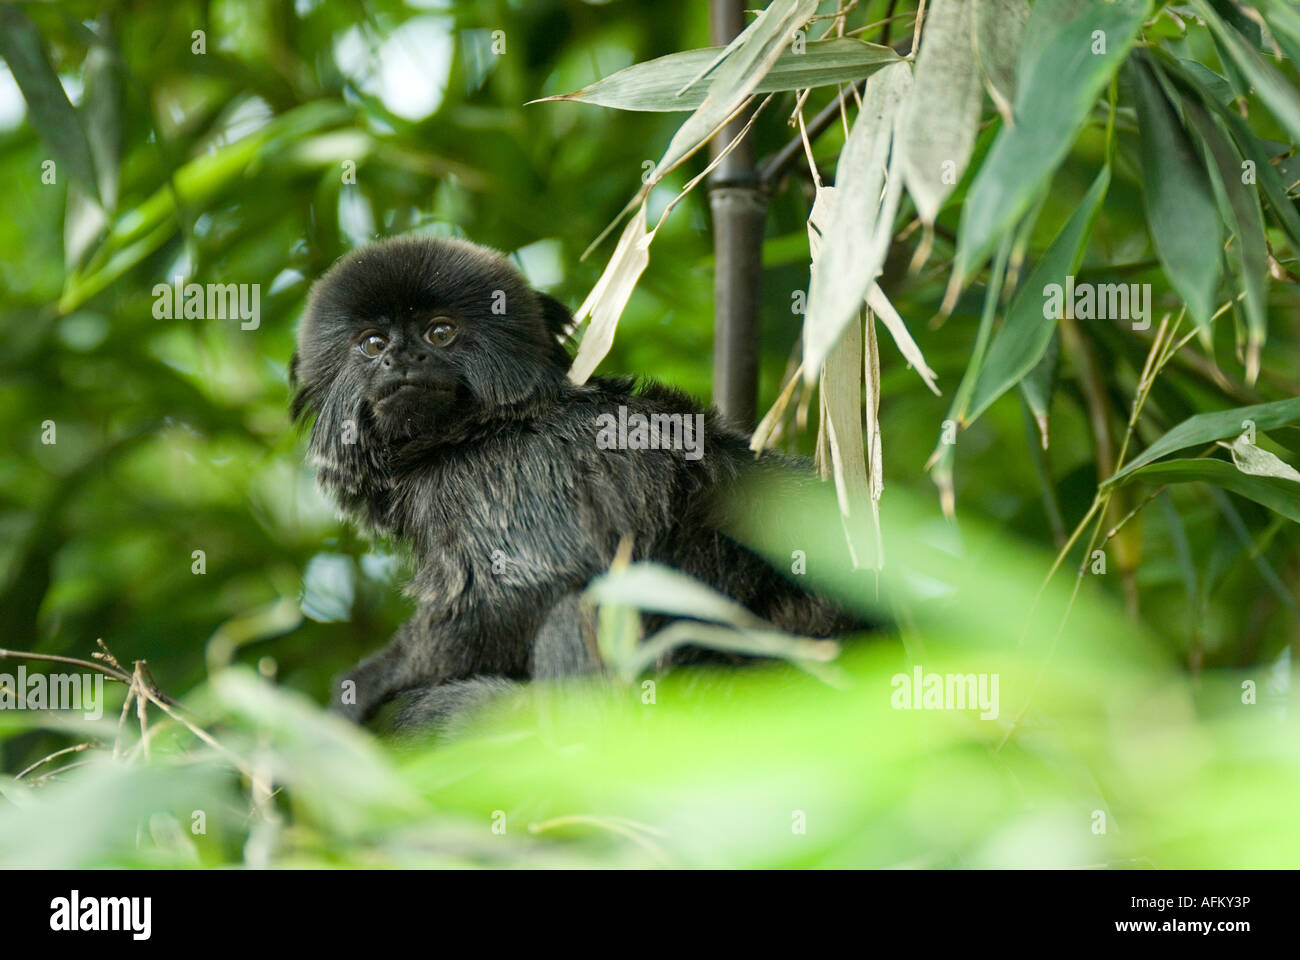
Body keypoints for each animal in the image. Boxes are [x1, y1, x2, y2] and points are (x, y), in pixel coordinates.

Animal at [290, 235, 867, 729]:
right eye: (371, 343)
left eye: (439, 332)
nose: (401, 358)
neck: (483, 427)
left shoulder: (504, 474)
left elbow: (536, 584)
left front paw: (363, 687)